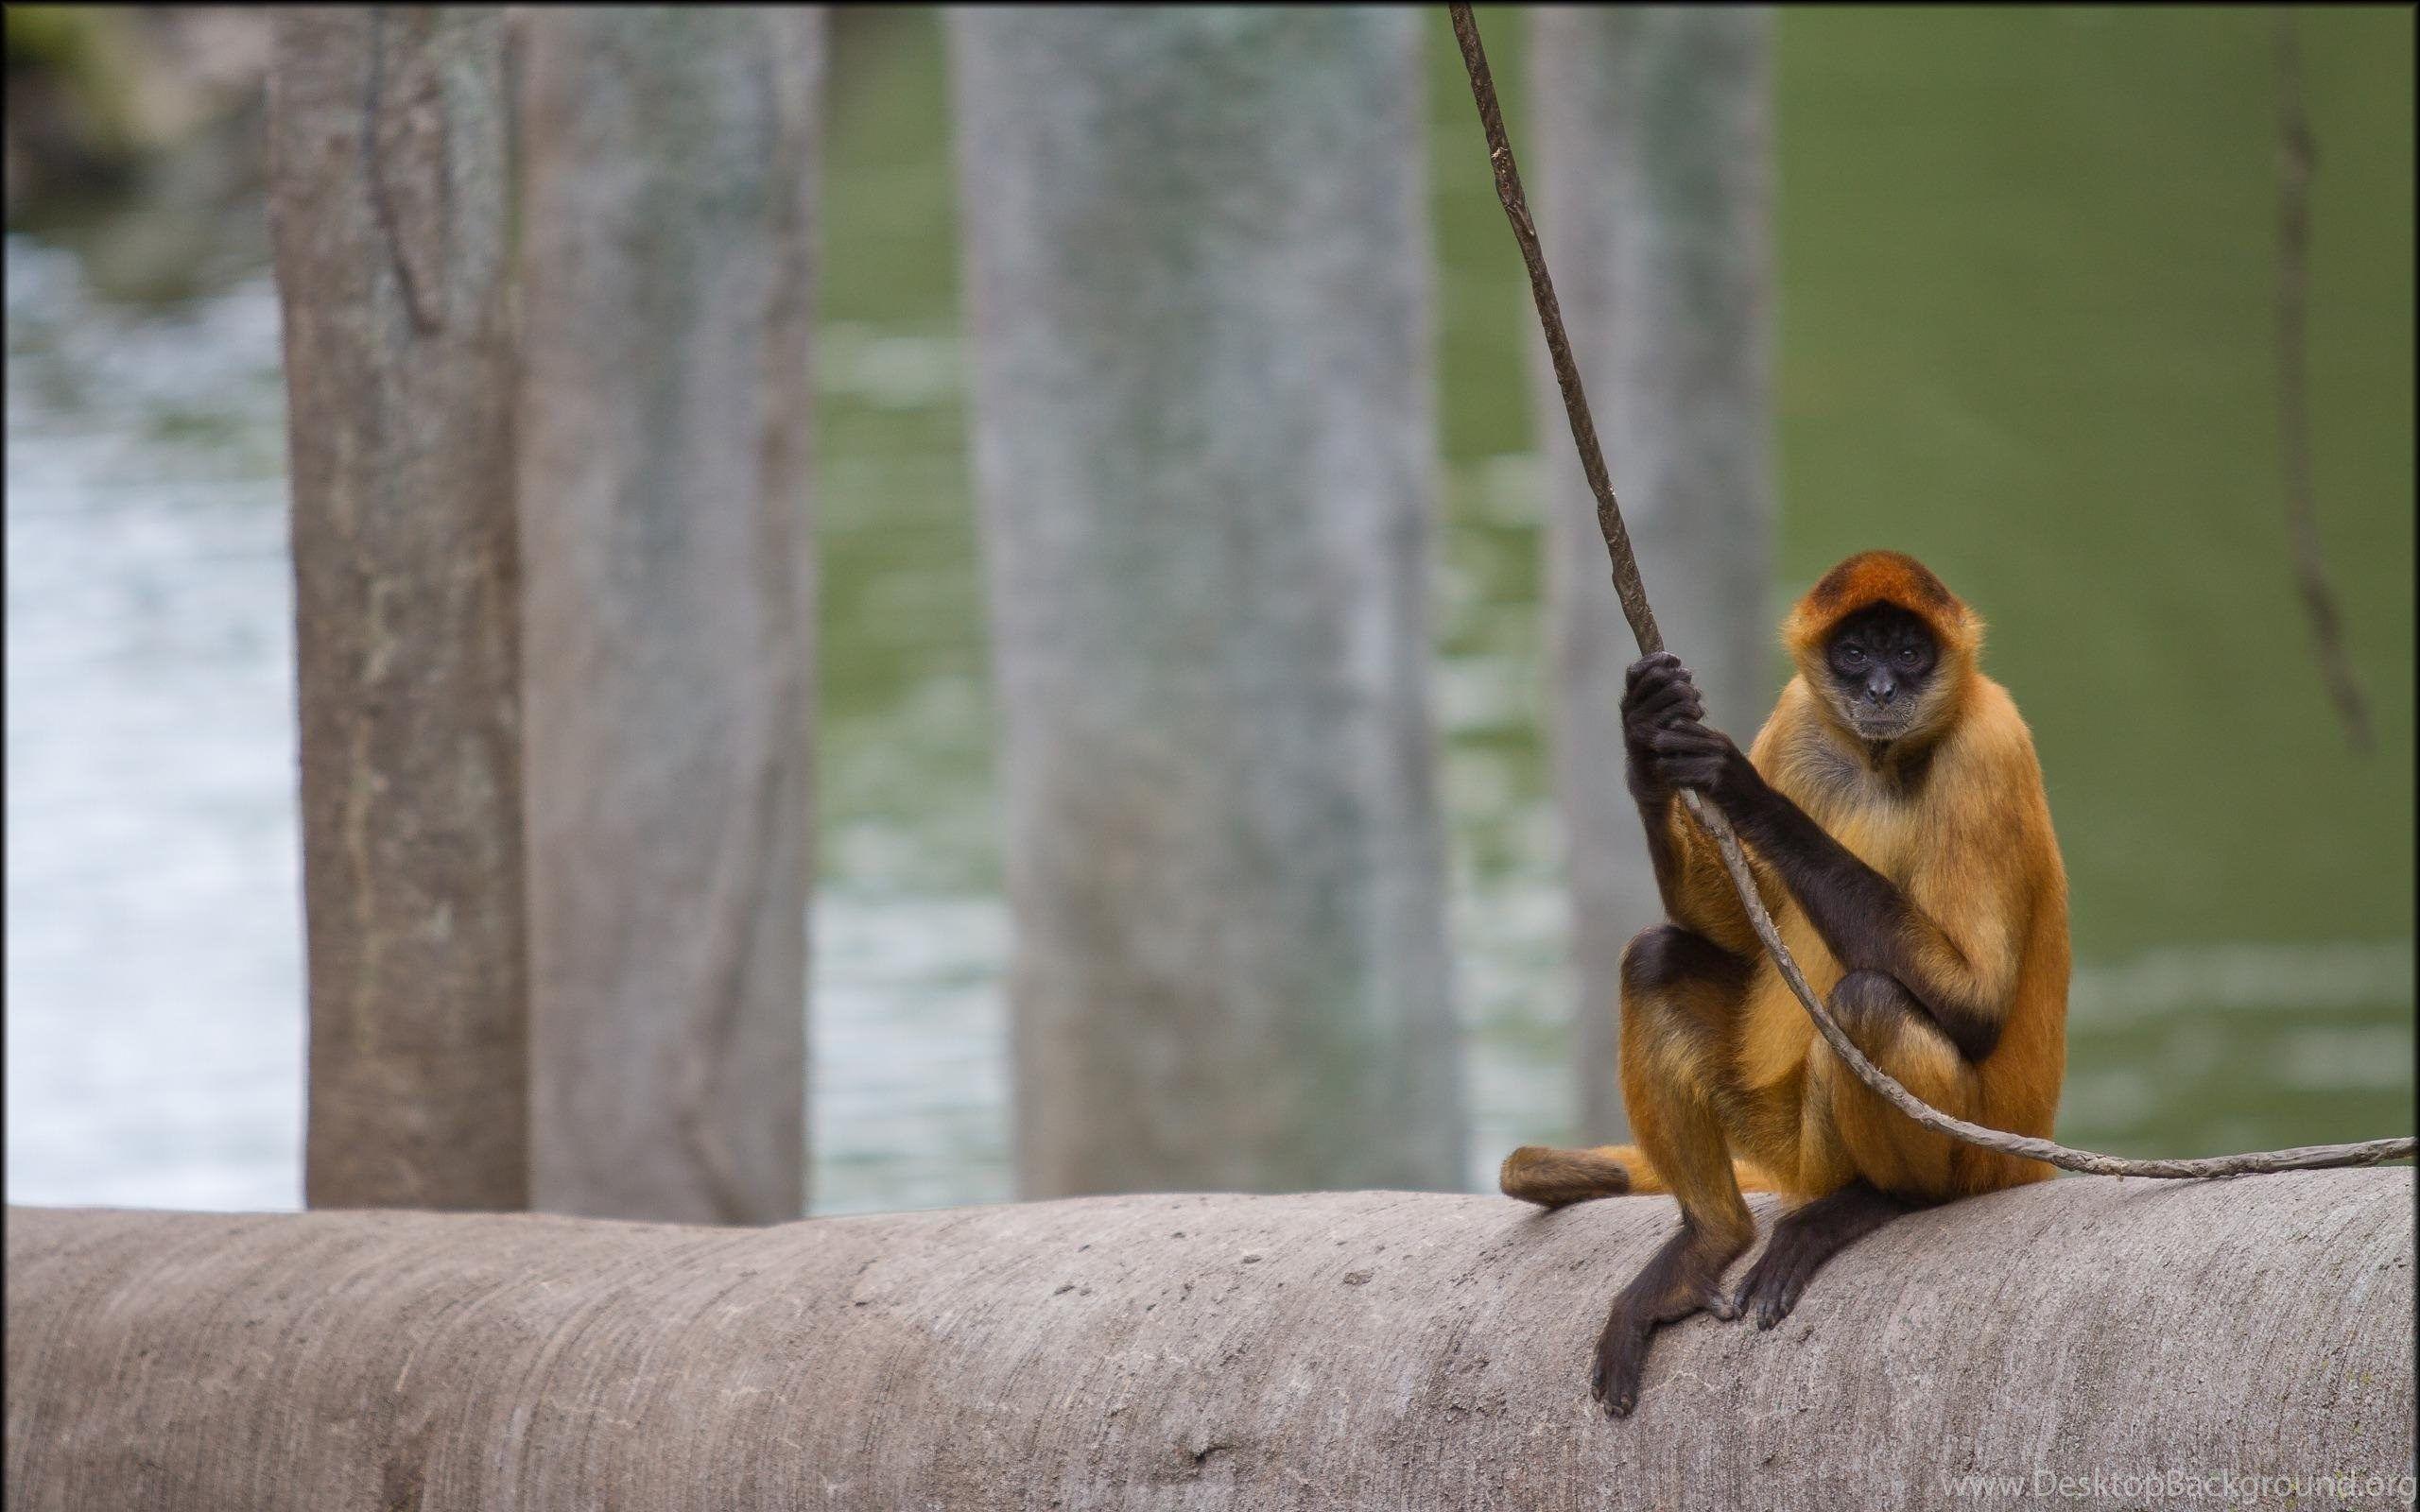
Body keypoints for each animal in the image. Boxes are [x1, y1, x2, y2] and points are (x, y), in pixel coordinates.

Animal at [1499, 550, 2069, 1417]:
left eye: (1910, 654)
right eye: (1855, 654)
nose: (1881, 692)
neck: (1881, 757)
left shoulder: (1988, 747)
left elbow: (1974, 1008)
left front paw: (1742, 789)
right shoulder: (1803, 712)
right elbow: (1729, 936)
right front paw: (1647, 734)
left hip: (1973, 1152)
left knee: (1869, 1001)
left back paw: (1887, 1202)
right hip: (1787, 1130)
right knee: (1656, 958)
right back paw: (1714, 1239)